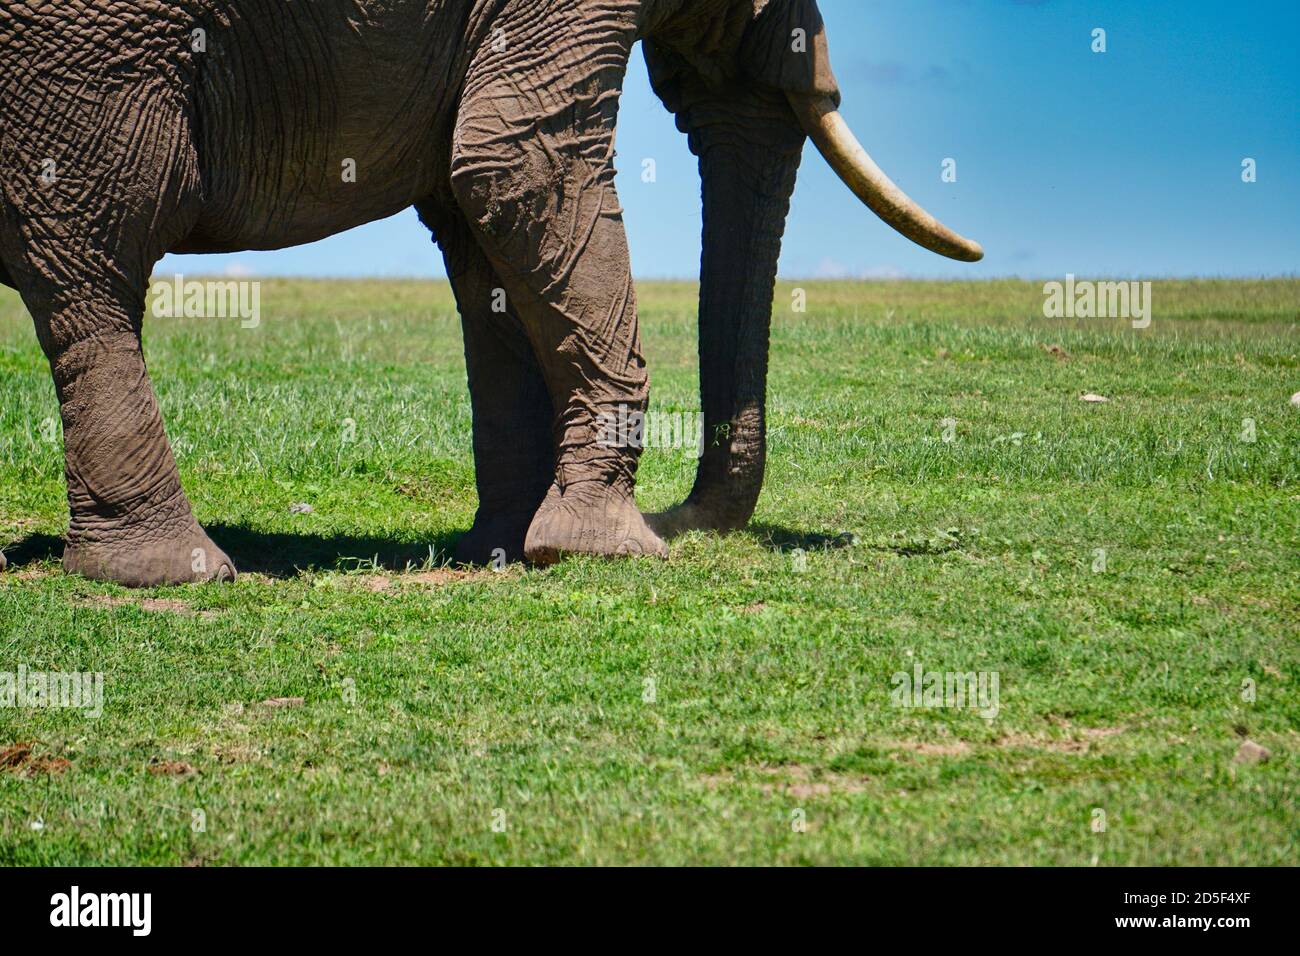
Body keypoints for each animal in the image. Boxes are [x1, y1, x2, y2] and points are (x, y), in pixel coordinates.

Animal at [0, 0, 981, 587]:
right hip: (82, 54)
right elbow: (520, 168)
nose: (684, 521)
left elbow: (484, 230)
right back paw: (173, 573)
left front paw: (508, 548)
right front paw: (606, 548)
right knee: (100, 250)